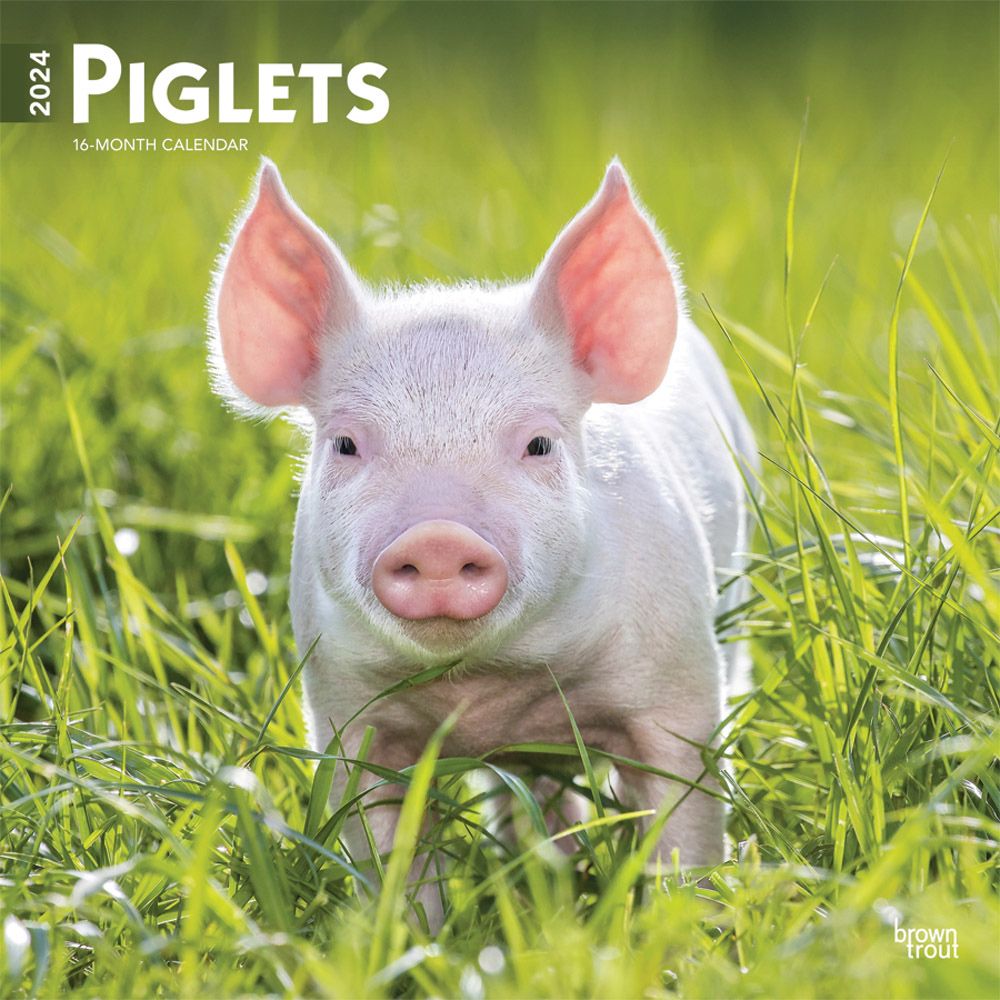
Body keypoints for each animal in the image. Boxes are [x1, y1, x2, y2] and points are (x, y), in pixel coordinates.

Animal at [209, 158, 756, 915]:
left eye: (538, 444)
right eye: (346, 444)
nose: (438, 535)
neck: (489, 691)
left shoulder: (679, 681)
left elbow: (684, 815)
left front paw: (687, 921)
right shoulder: (343, 710)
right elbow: (385, 847)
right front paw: (404, 931)